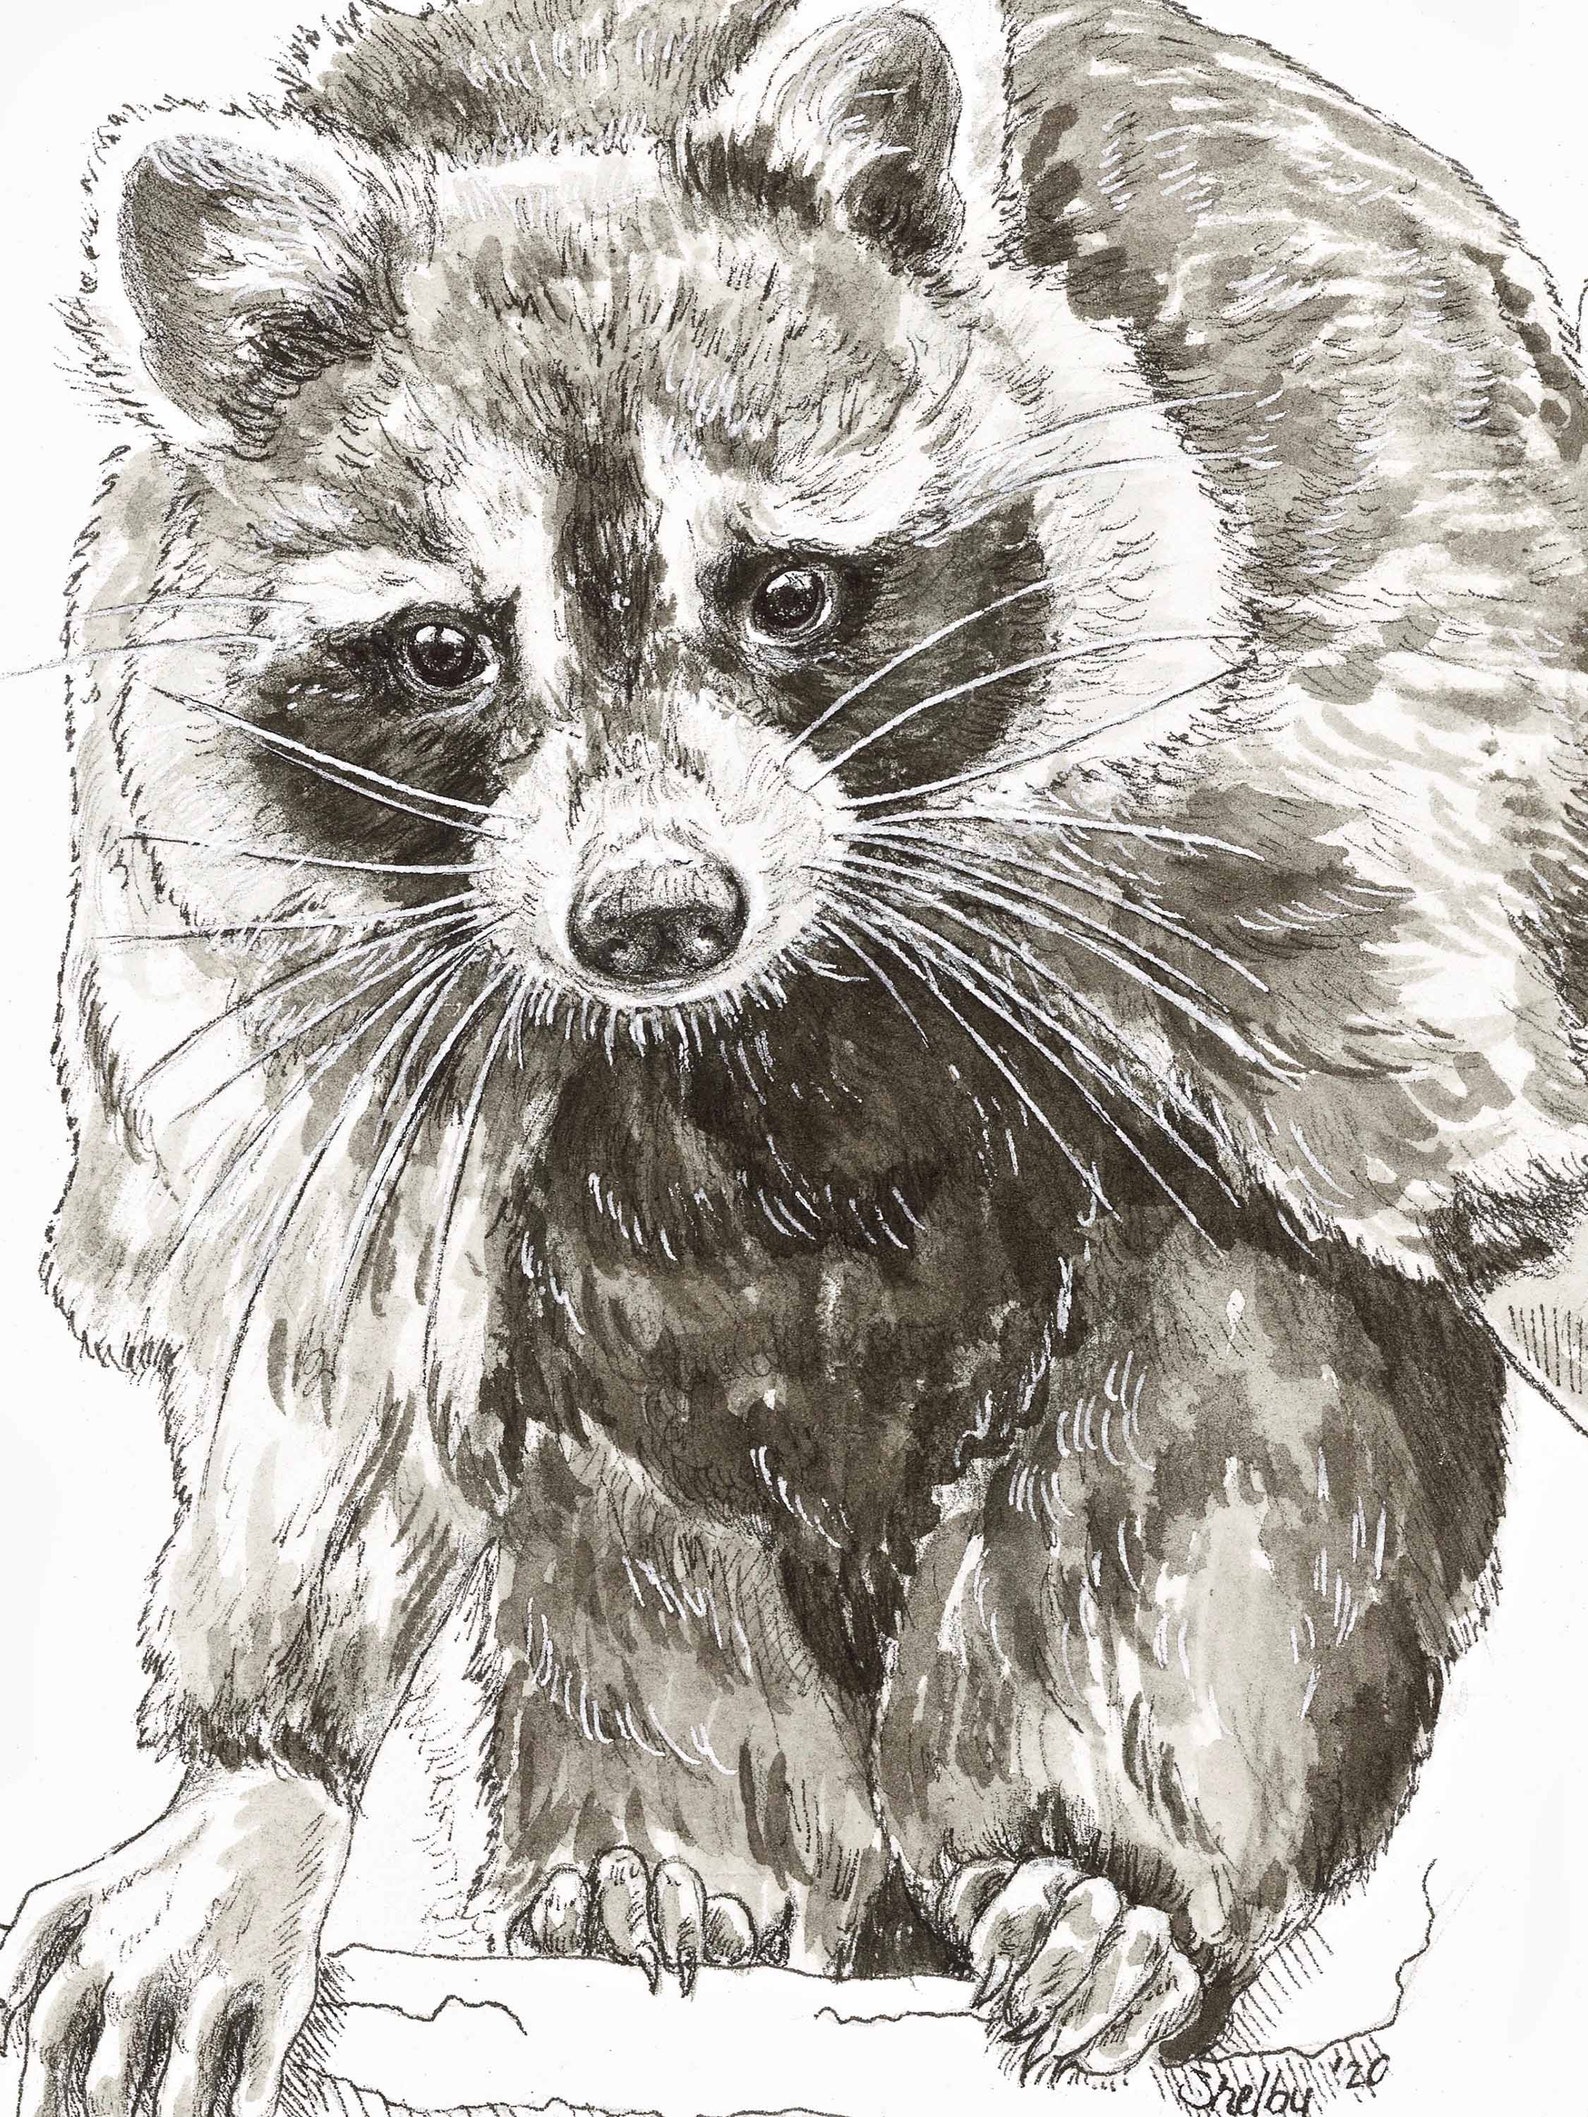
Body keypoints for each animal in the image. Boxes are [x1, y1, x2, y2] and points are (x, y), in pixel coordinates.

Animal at [2, 0, 1585, 2098]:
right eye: (444, 650)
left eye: (787, 594)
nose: (656, 916)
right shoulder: (239, 881)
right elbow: (323, 1311)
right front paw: (259, 1766)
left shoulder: (1326, 677)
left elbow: (1477, 1156)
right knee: (595, 1490)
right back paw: (667, 1858)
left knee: (1229, 1400)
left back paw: (1119, 1866)